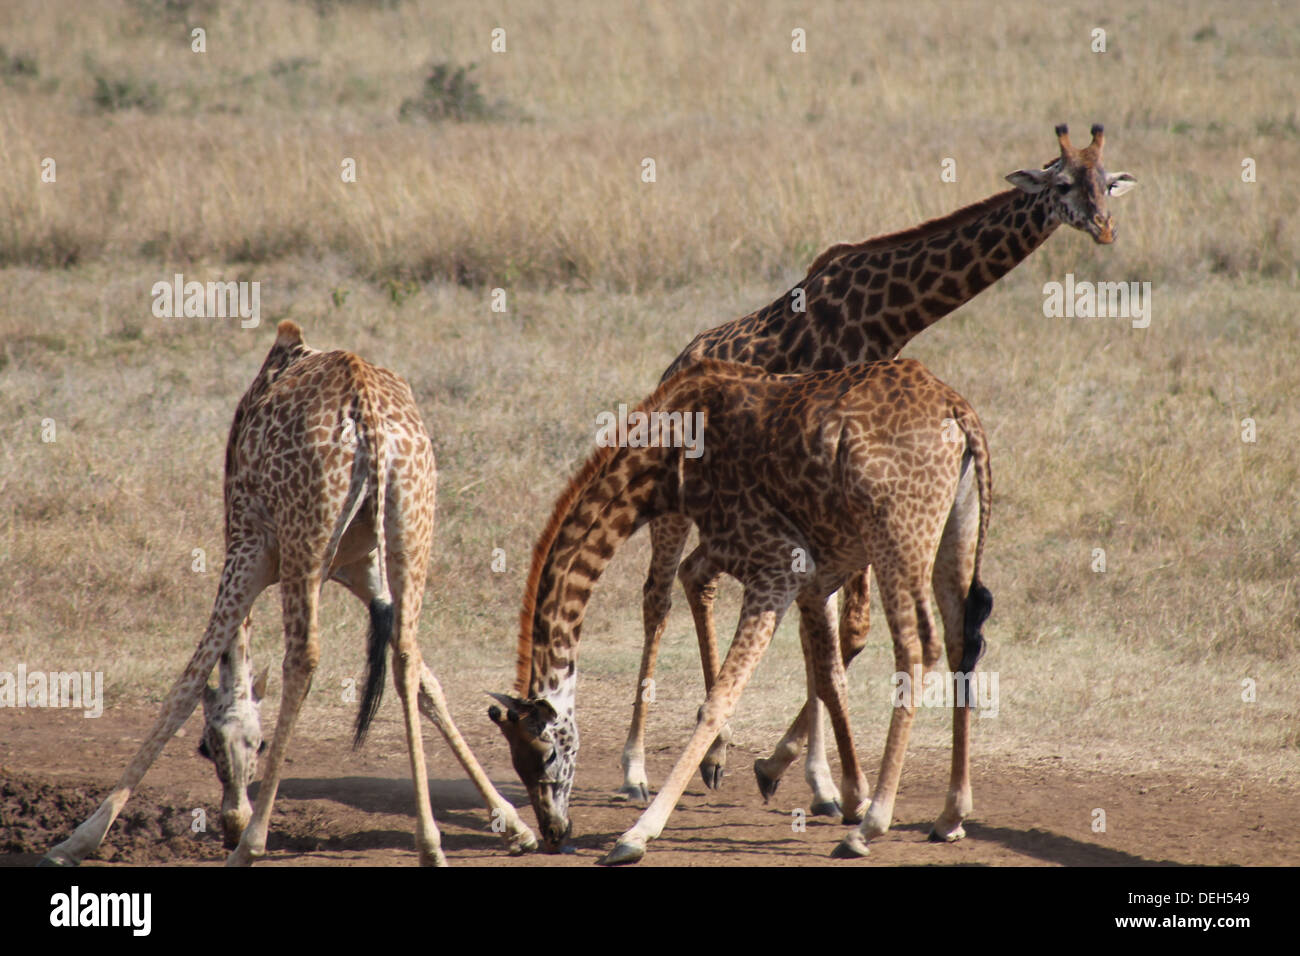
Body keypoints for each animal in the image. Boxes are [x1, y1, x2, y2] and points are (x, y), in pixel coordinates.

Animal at [42, 320, 536, 866]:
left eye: (212, 746)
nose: (231, 823)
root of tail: (366, 410)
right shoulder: (362, 569)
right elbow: (428, 683)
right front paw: (514, 825)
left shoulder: (247, 545)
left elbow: (186, 683)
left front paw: (79, 839)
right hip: (411, 530)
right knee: (405, 655)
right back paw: (429, 844)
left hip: (303, 542)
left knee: (302, 658)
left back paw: (252, 846)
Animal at [489, 357, 992, 863]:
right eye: (514, 761)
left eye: (546, 753)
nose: (554, 832)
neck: (667, 463)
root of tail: (960, 412)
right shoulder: (801, 571)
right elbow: (830, 679)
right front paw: (847, 794)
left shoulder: (778, 567)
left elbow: (718, 701)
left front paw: (637, 834)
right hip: (954, 529)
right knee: (958, 643)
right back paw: (950, 816)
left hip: (897, 538)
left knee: (917, 649)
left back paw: (870, 828)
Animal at [618, 122, 1134, 811]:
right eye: (1062, 183)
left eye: (1106, 180)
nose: (1104, 227)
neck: (886, 313)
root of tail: (675, 362)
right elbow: (840, 627)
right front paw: (812, 775)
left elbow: (842, 631)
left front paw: (808, 776)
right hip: (676, 502)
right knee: (657, 595)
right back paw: (638, 767)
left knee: (698, 581)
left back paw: (720, 756)